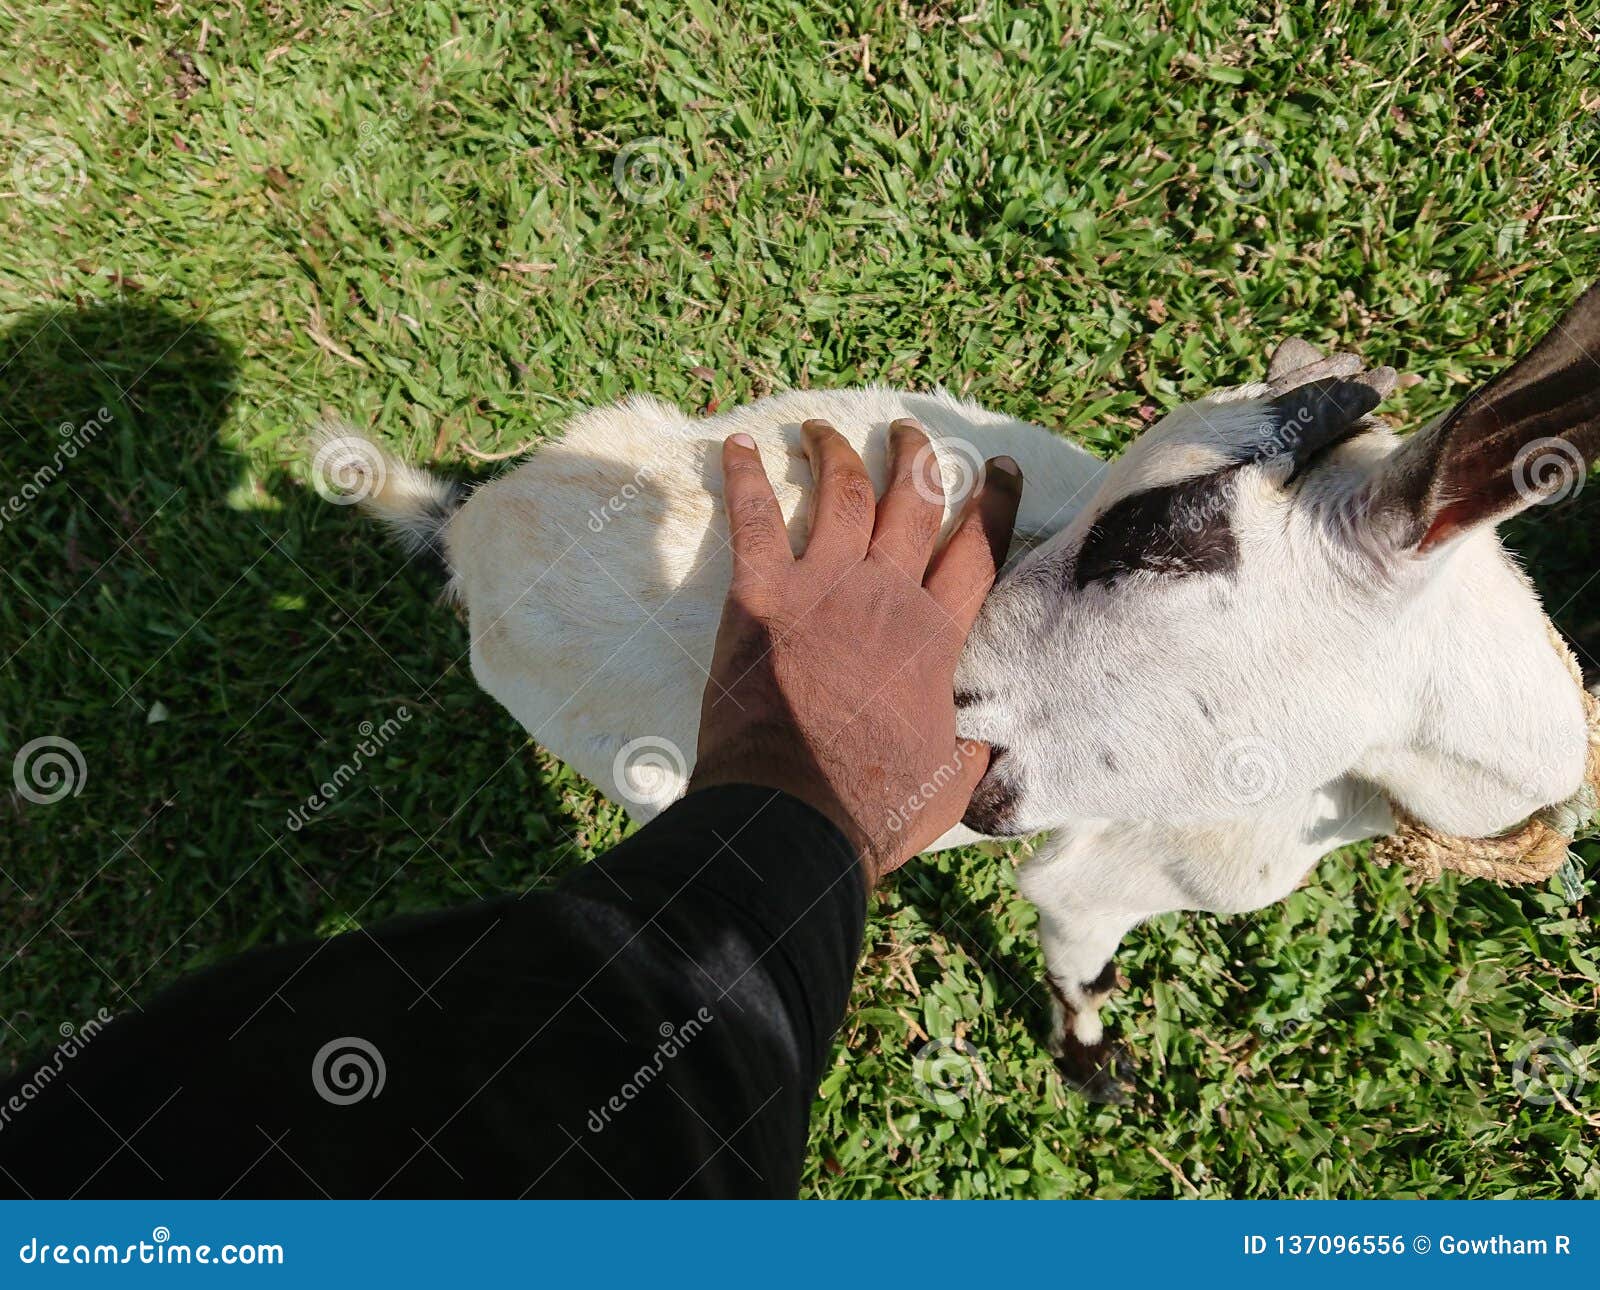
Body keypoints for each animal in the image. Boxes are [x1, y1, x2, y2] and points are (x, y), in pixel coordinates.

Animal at [320, 284, 1599, 1101]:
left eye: (1148, 535)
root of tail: (472, 530)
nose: (912, 701)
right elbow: (1080, 972)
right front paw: (1096, 1078)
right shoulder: (1097, 880)